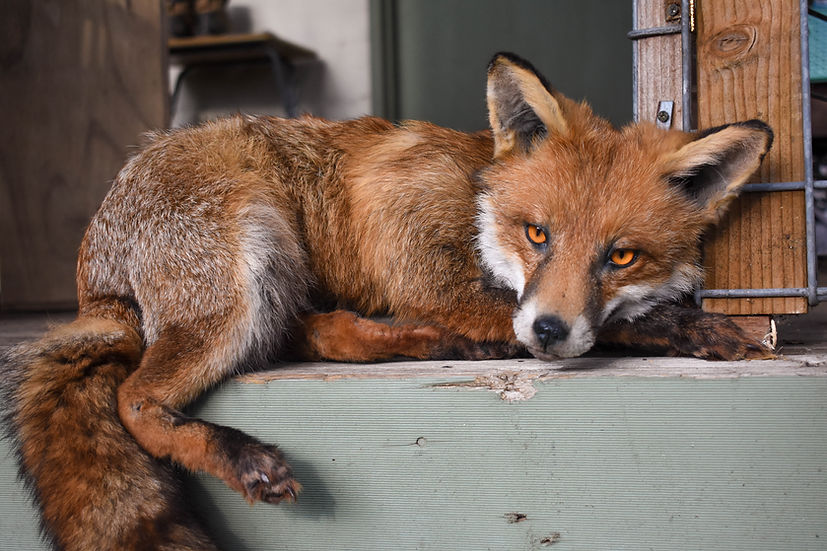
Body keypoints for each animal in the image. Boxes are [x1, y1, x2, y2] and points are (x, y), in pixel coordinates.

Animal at [1, 52, 773, 550]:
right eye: (537, 234)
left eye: (620, 256)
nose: (550, 331)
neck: (475, 197)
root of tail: (94, 265)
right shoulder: (416, 255)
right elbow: (611, 324)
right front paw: (695, 326)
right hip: (244, 264)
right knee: (134, 399)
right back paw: (239, 452)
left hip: (272, 289)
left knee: (317, 334)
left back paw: (433, 342)